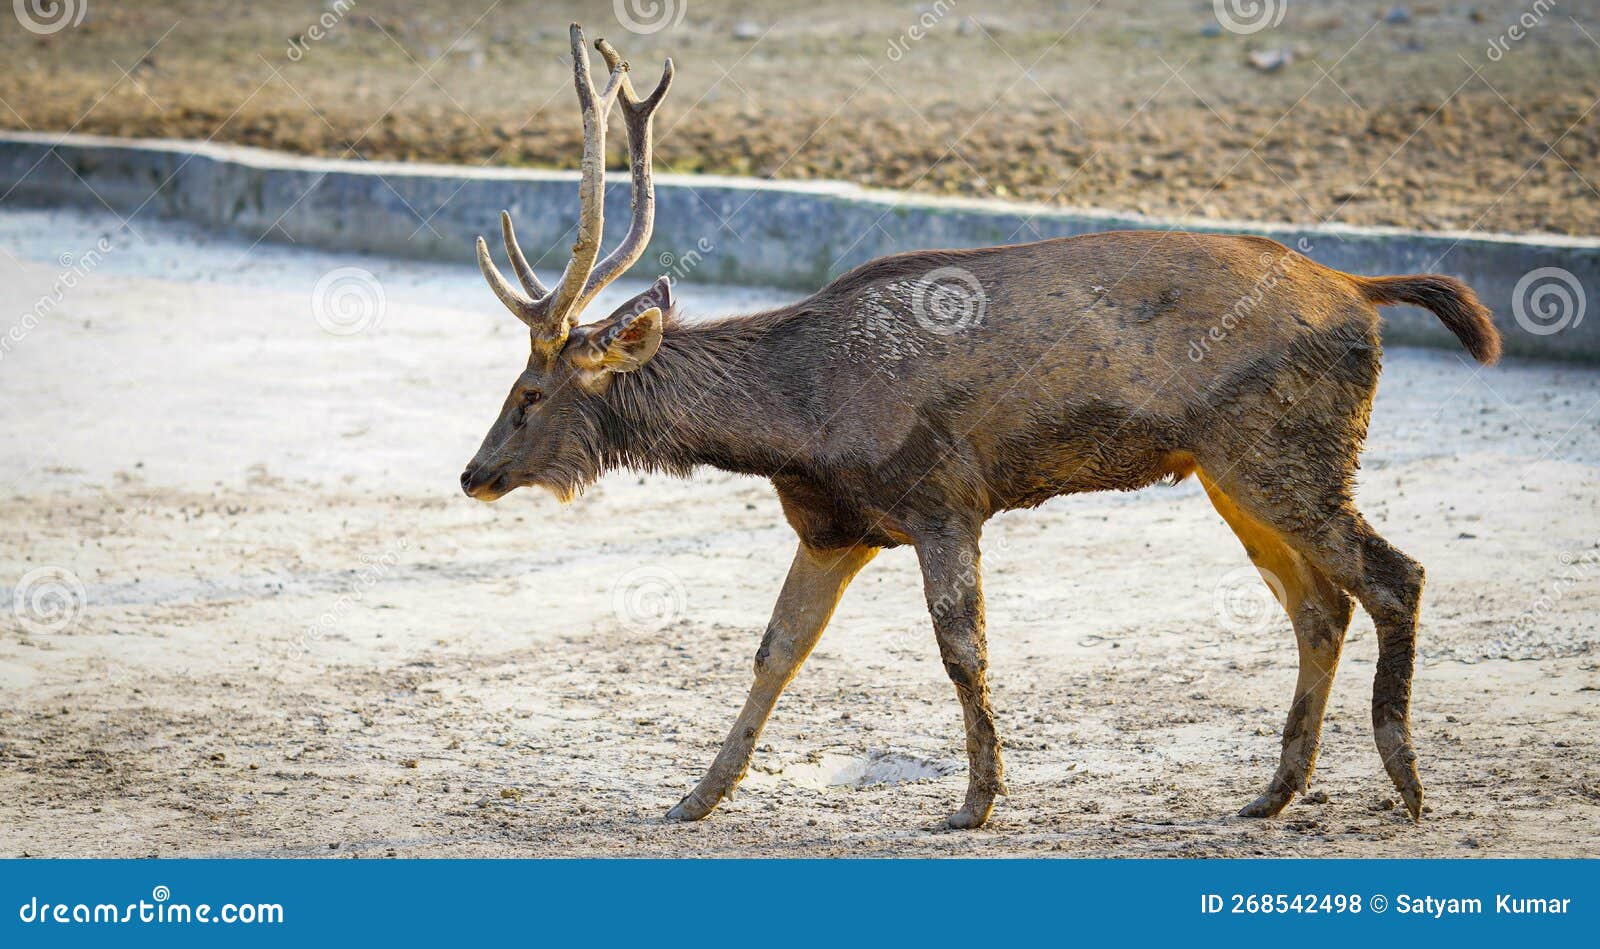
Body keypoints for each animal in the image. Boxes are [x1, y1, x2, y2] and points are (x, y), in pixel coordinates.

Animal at [460, 24, 1502, 830]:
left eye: (530, 392)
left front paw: (976, 800)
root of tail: (1362, 290)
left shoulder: (942, 495)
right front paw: (692, 798)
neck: (799, 423)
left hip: (1286, 451)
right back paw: (1273, 792)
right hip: (1230, 468)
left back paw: (1408, 785)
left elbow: (961, 647)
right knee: (1320, 606)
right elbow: (775, 650)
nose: (472, 473)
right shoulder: (835, 526)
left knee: (1393, 576)